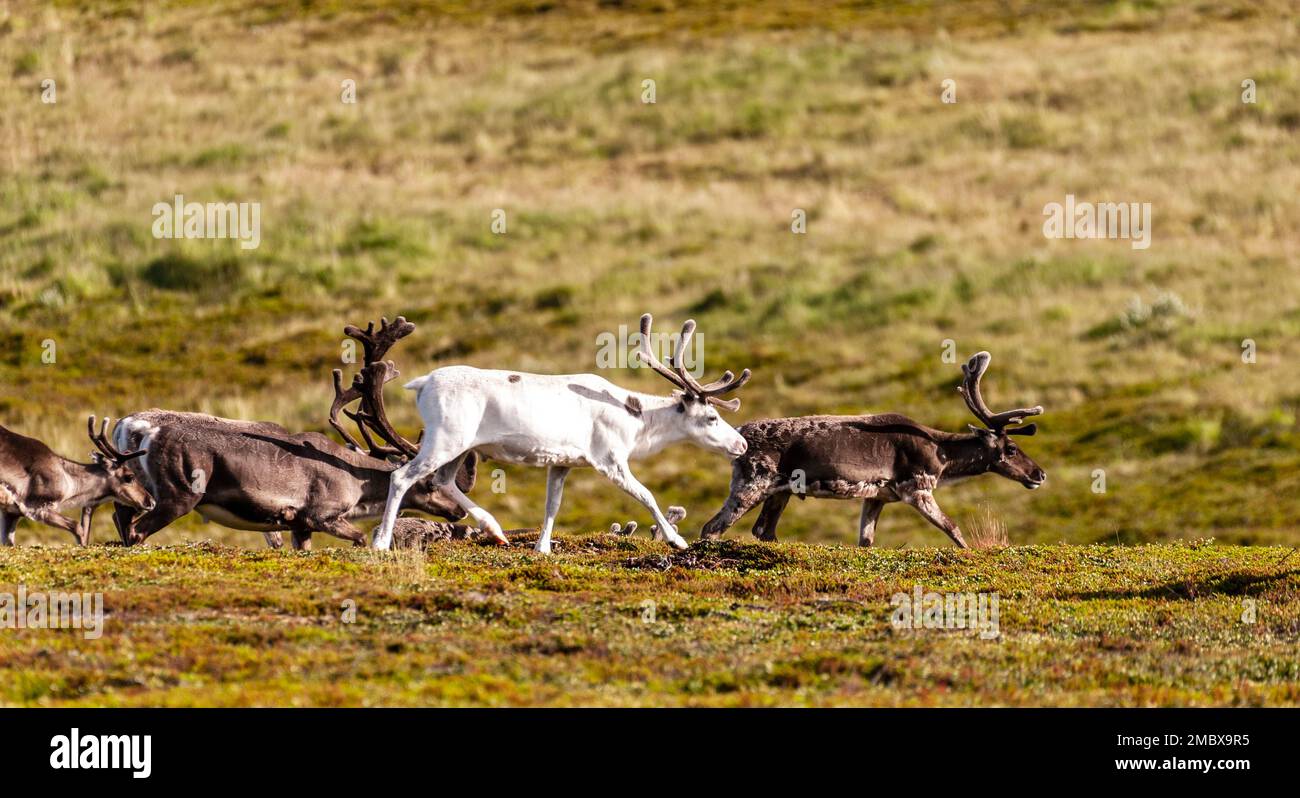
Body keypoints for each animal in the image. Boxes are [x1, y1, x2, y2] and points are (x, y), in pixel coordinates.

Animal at [0, 417, 155, 546]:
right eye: (130, 477)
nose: (151, 501)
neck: (69, 483)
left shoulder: (11, 513)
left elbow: (8, 543)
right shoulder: (35, 507)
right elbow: (77, 527)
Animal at [105, 317, 476, 550]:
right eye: (430, 483)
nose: (460, 511)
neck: (358, 482)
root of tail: (135, 427)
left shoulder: (300, 525)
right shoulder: (320, 514)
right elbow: (358, 538)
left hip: (135, 486)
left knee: (121, 516)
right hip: (179, 494)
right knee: (138, 531)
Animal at [371, 313, 751, 553]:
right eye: (712, 417)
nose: (742, 444)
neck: (637, 424)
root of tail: (421, 385)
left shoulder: (563, 462)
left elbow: (552, 504)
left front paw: (542, 548)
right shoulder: (610, 458)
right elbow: (646, 495)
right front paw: (677, 541)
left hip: (462, 446)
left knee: (443, 481)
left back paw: (496, 531)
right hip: (445, 437)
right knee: (402, 476)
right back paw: (381, 542)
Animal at [699, 351, 1046, 548]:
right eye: (1011, 448)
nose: (1040, 474)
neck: (942, 456)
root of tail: (740, 433)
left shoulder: (877, 496)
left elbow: (866, 540)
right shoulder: (917, 488)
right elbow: (954, 530)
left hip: (779, 492)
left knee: (763, 530)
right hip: (751, 484)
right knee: (711, 527)